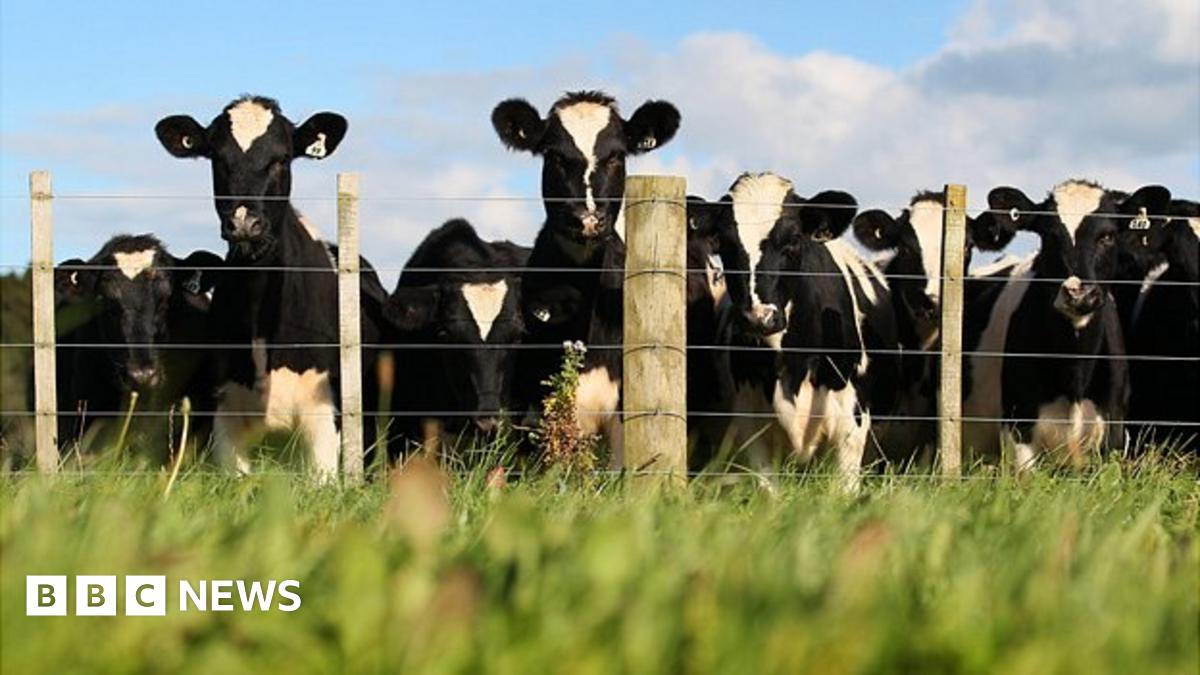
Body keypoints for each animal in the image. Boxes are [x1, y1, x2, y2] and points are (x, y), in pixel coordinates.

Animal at [962, 179, 1172, 469]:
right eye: (1049, 236)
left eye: (1107, 236)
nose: (1077, 293)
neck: (1074, 372)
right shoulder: (1018, 432)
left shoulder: (1112, 435)